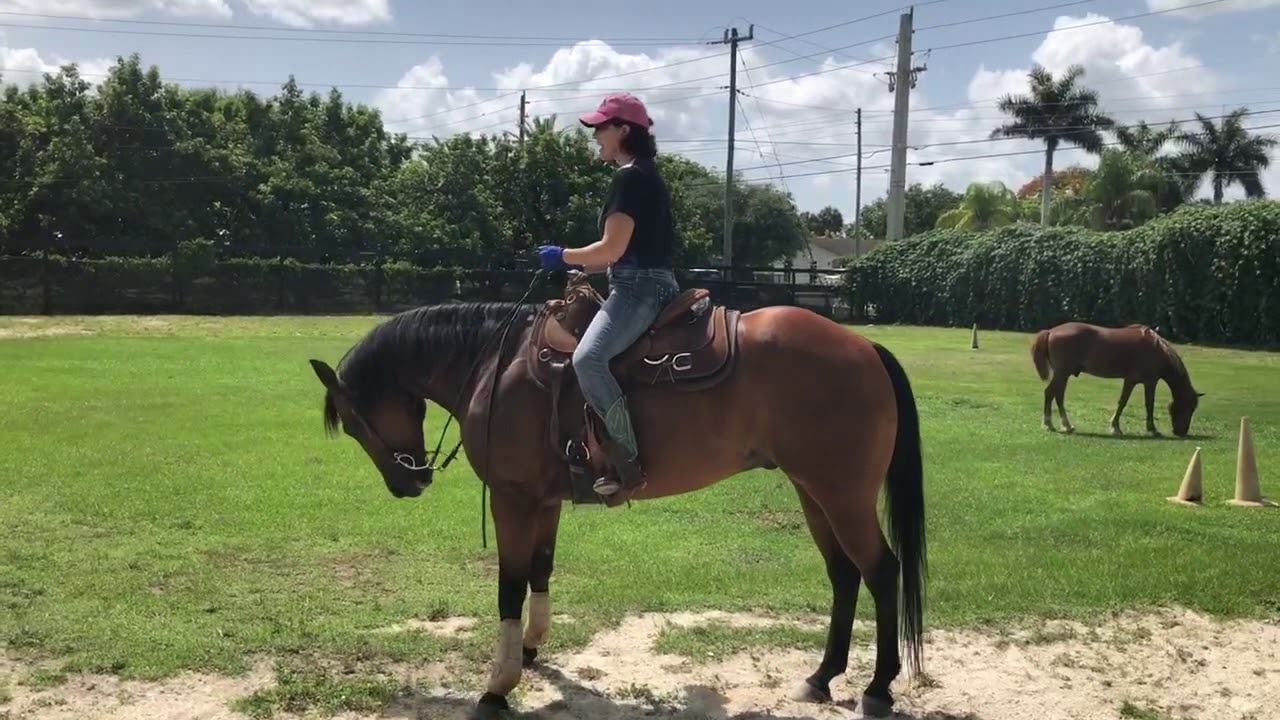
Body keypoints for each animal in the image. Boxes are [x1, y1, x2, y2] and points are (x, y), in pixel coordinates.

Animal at [307, 271, 928, 719]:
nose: (407, 482)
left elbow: (509, 585)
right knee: (843, 574)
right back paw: (821, 678)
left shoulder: (513, 498)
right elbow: (540, 570)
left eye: (354, 421)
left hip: (842, 495)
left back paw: (878, 688)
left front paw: (497, 686)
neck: (495, 363)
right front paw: (530, 650)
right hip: (813, 492)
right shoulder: (544, 500)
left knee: (881, 571)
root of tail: (864, 345)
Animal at [1031, 321, 1204, 436]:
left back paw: (1065, 425)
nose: (1181, 432)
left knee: (1057, 396)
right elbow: (1147, 404)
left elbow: (1123, 402)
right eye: (1190, 408)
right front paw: (1152, 429)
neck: (1156, 349)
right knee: (1051, 394)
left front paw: (1115, 427)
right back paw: (1050, 424)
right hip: (1062, 374)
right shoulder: (1149, 382)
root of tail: (1050, 331)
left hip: (1063, 375)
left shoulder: (1131, 381)